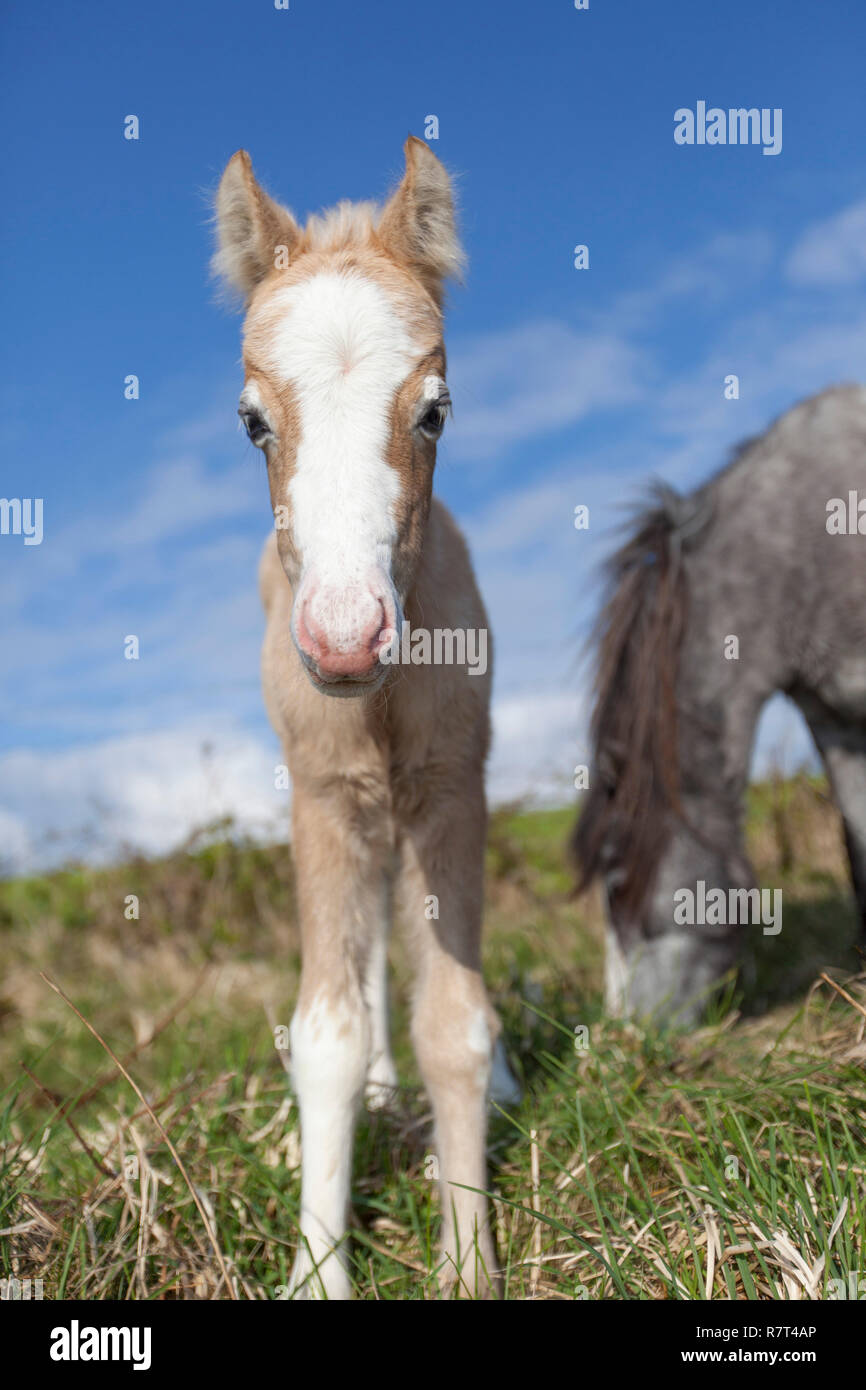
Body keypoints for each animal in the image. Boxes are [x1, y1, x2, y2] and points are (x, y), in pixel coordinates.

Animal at [213, 137, 517, 1299]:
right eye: (252, 421)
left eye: (434, 409)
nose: (345, 639)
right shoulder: (323, 795)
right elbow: (327, 1035)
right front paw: (316, 1267)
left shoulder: (451, 786)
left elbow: (455, 1024)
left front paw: (467, 1258)